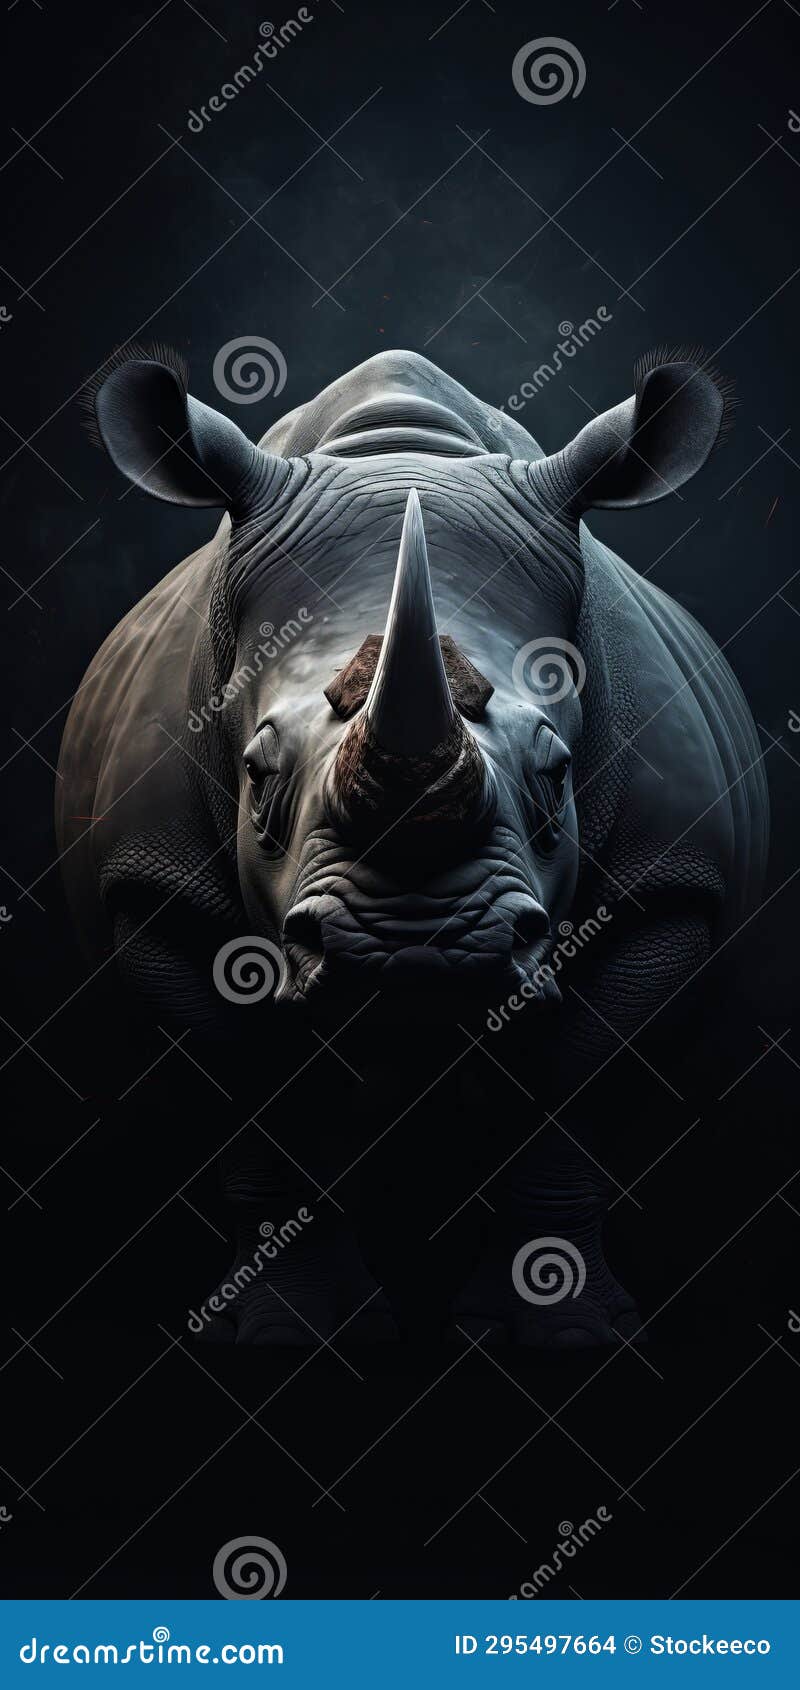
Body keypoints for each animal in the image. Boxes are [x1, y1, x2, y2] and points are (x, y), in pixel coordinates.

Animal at [56, 345, 768, 1347]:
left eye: (556, 775)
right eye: (257, 774)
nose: (418, 947)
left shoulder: (667, 890)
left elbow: (575, 1087)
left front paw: (562, 1330)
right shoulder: (157, 896)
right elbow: (257, 1094)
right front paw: (287, 1334)